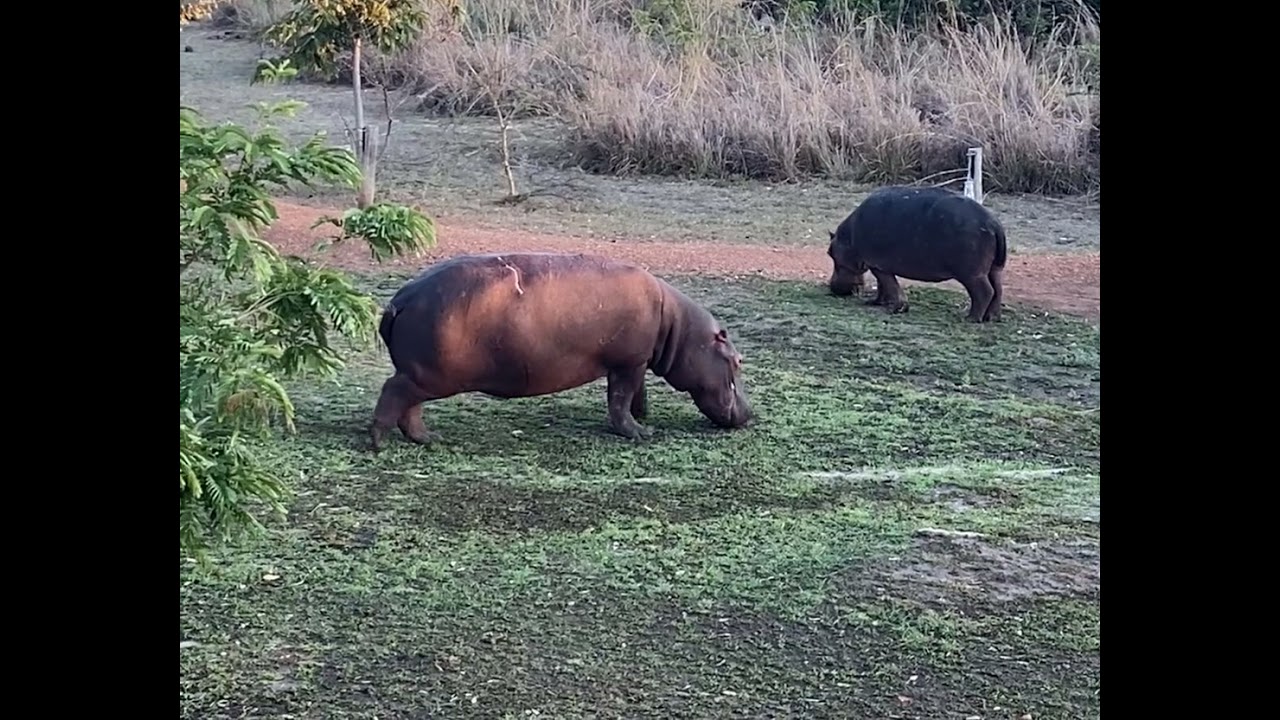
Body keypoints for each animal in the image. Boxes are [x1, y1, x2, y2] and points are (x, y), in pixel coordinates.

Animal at [369, 252, 755, 450]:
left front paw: (644, 416)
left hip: (424, 375)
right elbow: (619, 400)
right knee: (393, 393)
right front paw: (641, 434)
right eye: (737, 361)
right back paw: (380, 443)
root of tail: (399, 300)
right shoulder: (628, 364)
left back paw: (428, 439)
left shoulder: (637, 361)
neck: (678, 326)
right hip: (429, 375)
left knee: (410, 406)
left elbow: (635, 394)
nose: (750, 414)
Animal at [827, 185, 1008, 322]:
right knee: (998, 289)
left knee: (984, 291)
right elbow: (883, 286)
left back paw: (970, 318)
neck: (849, 240)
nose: (832, 287)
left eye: (830, 254)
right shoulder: (879, 264)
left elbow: (889, 285)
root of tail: (994, 223)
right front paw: (876, 302)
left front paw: (898, 308)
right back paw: (992, 318)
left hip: (971, 274)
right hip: (995, 268)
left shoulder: (877, 263)